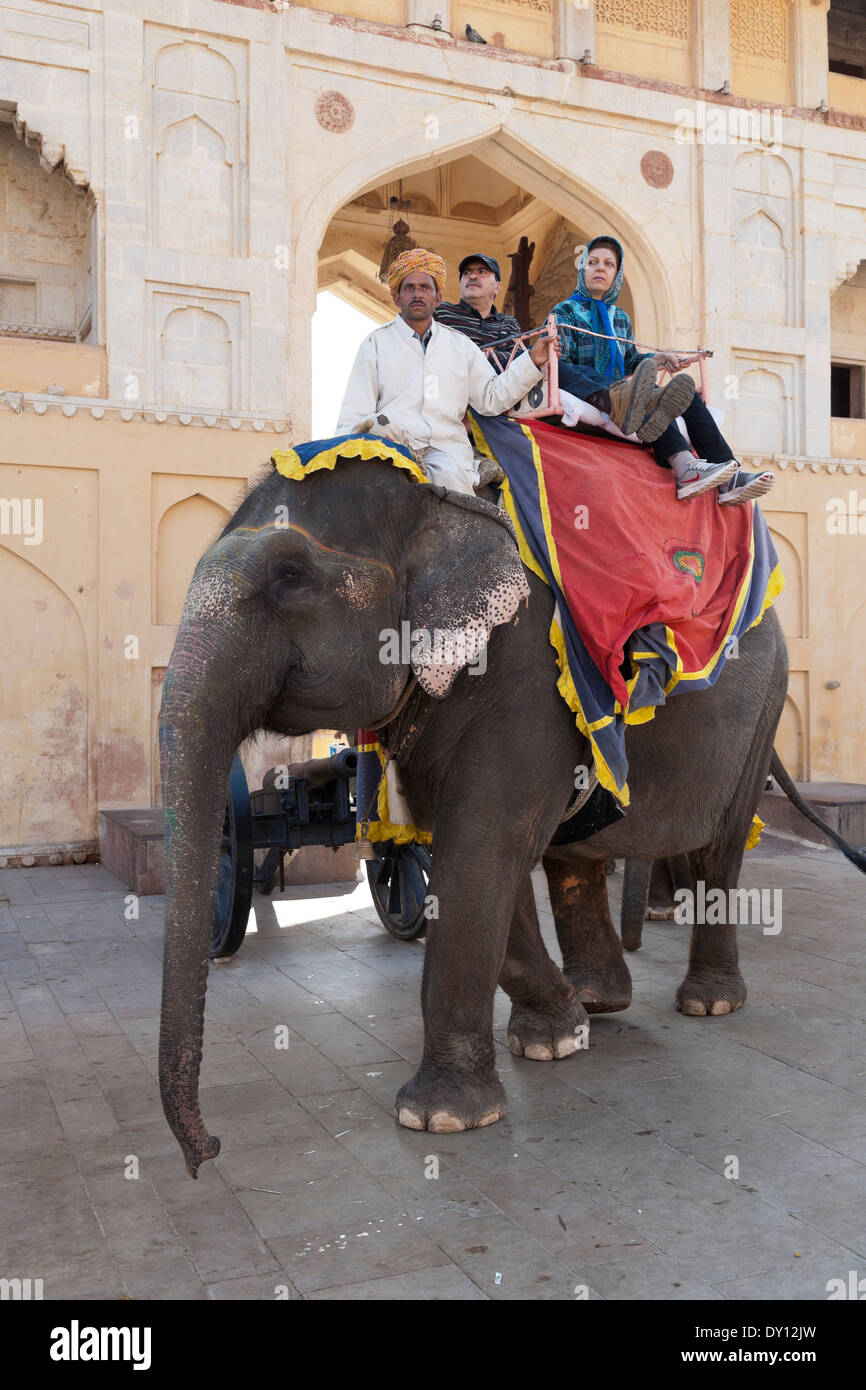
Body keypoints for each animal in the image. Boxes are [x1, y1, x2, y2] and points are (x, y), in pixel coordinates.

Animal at [159, 452, 793, 1177]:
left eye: (289, 577)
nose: (206, 1154)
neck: (436, 502)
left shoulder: (526, 677)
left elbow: (480, 851)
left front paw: (439, 1118)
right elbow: (482, 859)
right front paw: (559, 1034)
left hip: (765, 708)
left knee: (719, 850)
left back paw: (708, 1003)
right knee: (574, 856)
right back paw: (599, 999)